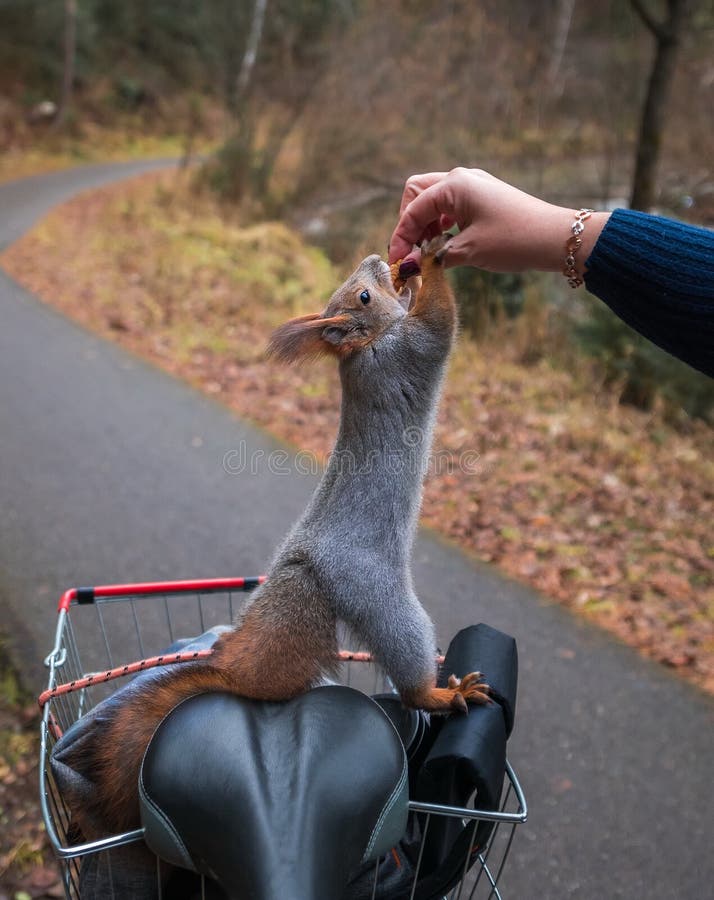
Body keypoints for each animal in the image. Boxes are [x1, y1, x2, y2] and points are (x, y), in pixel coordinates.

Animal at [65, 235, 489, 836]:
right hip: (387, 602)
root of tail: (310, 568)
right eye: (362, 296)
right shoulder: (409, 350)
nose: (379, 259)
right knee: (410, 674)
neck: (368, 347)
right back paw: (443, 693)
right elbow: (440, 324)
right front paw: (431, 260)